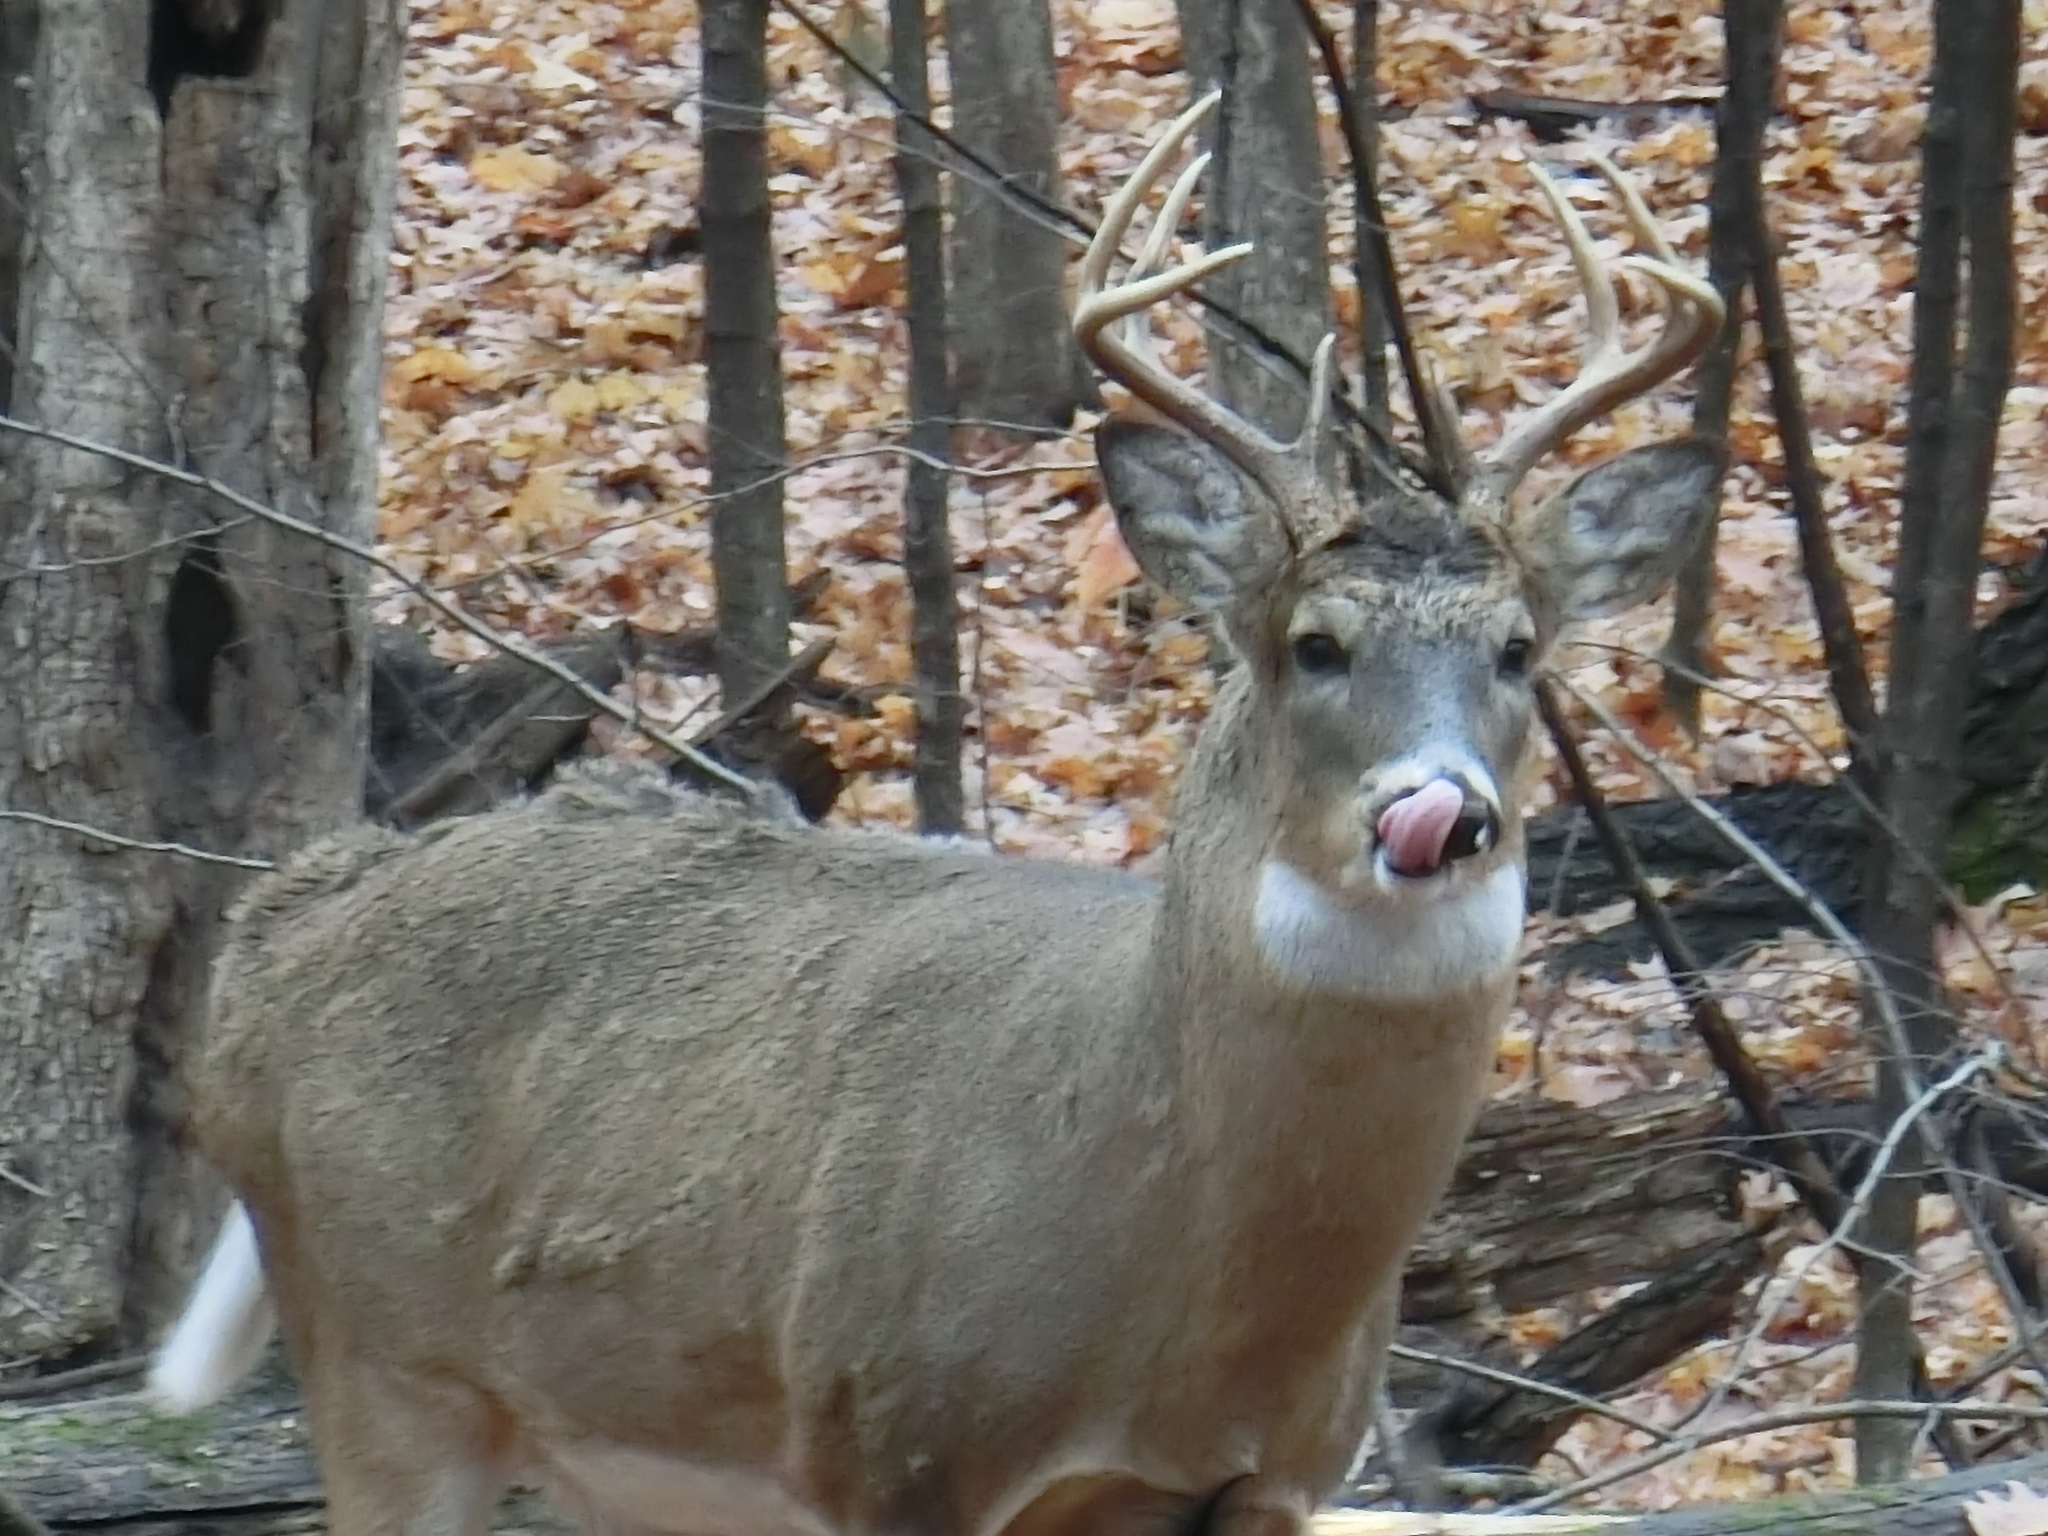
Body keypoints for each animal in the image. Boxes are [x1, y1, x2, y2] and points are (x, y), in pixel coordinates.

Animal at [149, 94, 1722, 1536]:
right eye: (1314, 644)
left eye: (1518, 651)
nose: (1437, 813)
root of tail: (279, 928)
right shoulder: (895, 1434)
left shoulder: (1277, 1481)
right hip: (386, 1370)